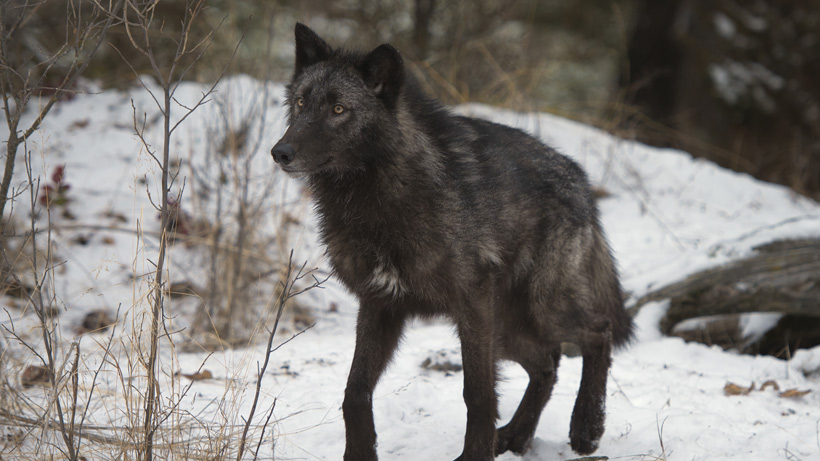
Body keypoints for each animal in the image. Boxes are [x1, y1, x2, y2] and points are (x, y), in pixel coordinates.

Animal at [271, 23, 634, 461]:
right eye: (301, 102)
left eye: (339, 109)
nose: (280, 152)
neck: (381, 196)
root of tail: (579, 177)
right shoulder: (379, 304)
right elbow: (354, 392)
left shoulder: (471, 302)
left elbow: (477, 393)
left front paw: (475, 454)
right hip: (508, 327)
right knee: (547, 363)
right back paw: (516, 436)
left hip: (539, 308)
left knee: (598, 332)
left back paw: (586, 428)